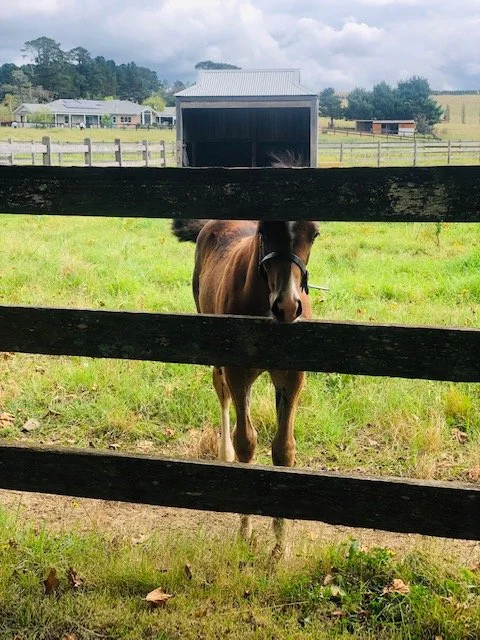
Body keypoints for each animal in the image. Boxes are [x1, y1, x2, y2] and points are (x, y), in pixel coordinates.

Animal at [172, 215, 319, 550]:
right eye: (264, 230)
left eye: (314, 234)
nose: (287, 306)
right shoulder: (237, 371)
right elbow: (246, 442)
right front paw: (245, 532)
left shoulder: (292, 376)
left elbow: (284, 449)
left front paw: (280, 544)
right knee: (221, 391)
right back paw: (224, 454)